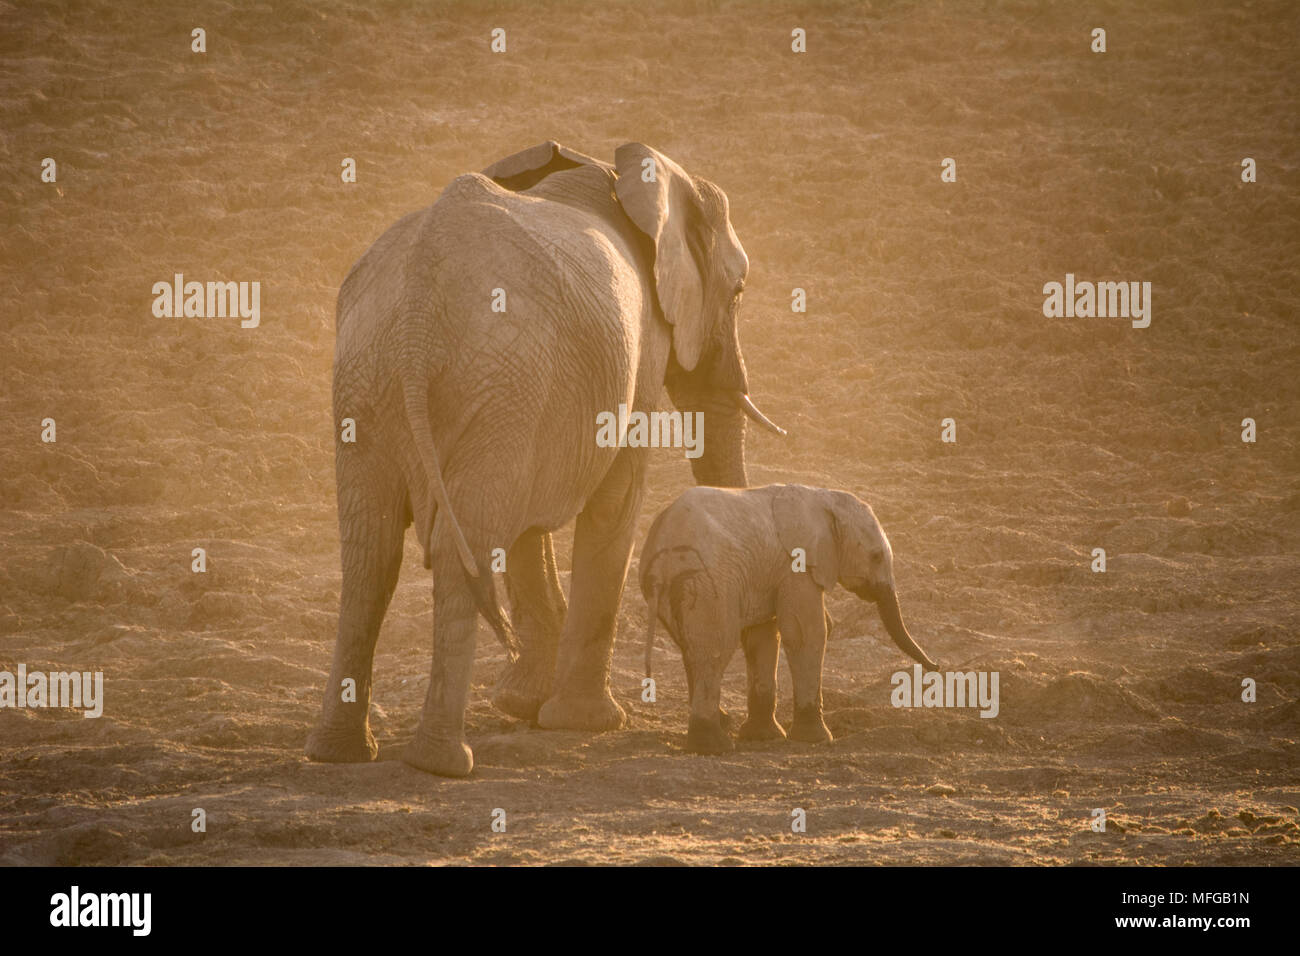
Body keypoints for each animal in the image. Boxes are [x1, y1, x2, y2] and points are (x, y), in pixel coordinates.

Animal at [305, 140, 785, 777]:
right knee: (461, 548)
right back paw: (442, 763)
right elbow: (615, 497)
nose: (757, 728)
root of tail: (416, 307)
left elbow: (528, 527)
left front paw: (526, 708)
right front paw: (585, 723)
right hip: (490, 377)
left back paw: (340, 753)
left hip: (379, 376)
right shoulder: (633, 359)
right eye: (737, 292)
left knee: (370, 553)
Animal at [639, 484, 937, 754]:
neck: (823, 498)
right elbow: (806, 633)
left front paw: (763, 737)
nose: (936, 667)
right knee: (714, 649)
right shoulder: (797, 566)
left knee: (692, 650)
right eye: (875, 557)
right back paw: (713, 748)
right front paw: (815, 740)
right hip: (706, 581)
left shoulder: (766, 574)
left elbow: (762, 638)